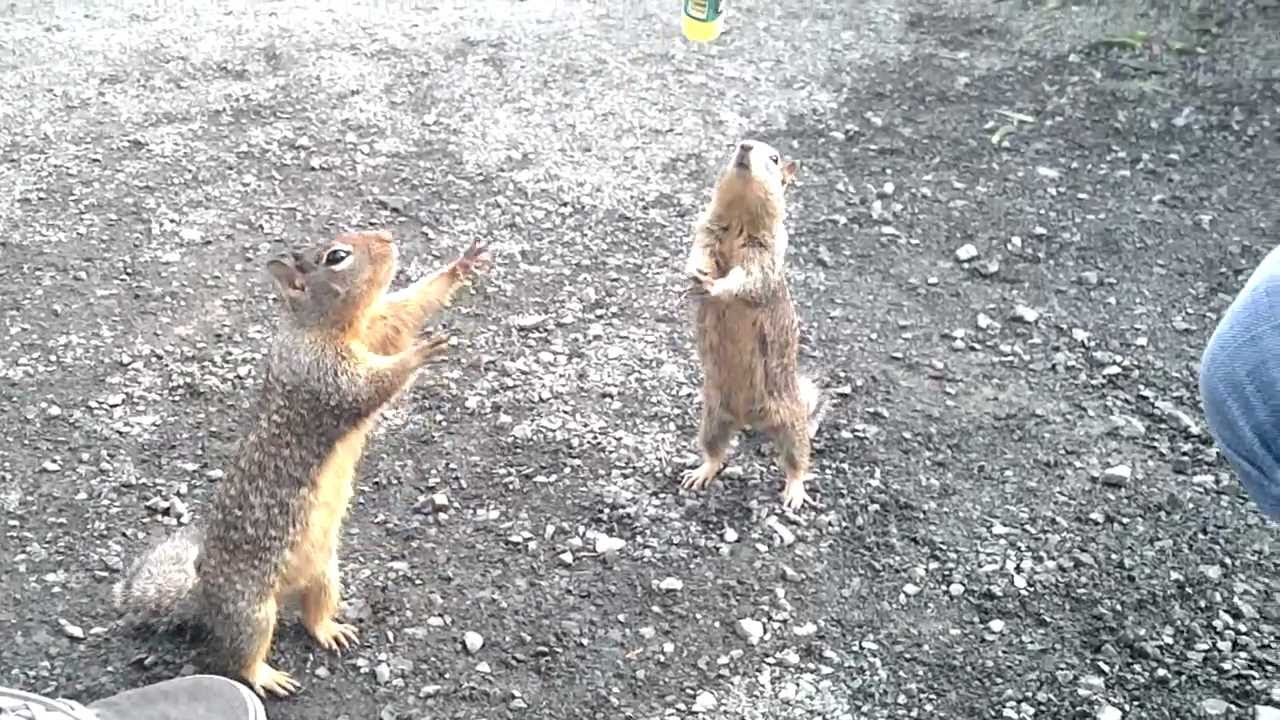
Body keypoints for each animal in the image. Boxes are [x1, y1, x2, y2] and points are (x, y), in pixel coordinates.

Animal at [111, 229, 491, 697]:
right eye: (337, 256)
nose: (387, 237)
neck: (323, 327)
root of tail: (203, 596)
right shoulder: (322, 375)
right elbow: (371, 385)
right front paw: (419, 354)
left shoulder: (375, 330)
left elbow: (406, 312)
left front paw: (461, 265)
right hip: (251, 610)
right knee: (240, 655)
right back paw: (266, 676)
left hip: (326, 575)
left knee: (313, 614)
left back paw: (330, 630)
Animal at [682, 139, 828, 511]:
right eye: (735, 143)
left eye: (774, 158)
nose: (745, 146)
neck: (739, 217)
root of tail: (749, 419)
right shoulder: (706, 233)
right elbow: (698, 254)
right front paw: (693, 275)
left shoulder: (763, 256)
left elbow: (745, 280)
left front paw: (714, 287)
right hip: (713, 417)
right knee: (716, 452)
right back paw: (701, 471)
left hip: (790, 425)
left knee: (797, 459)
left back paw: (794, 490)